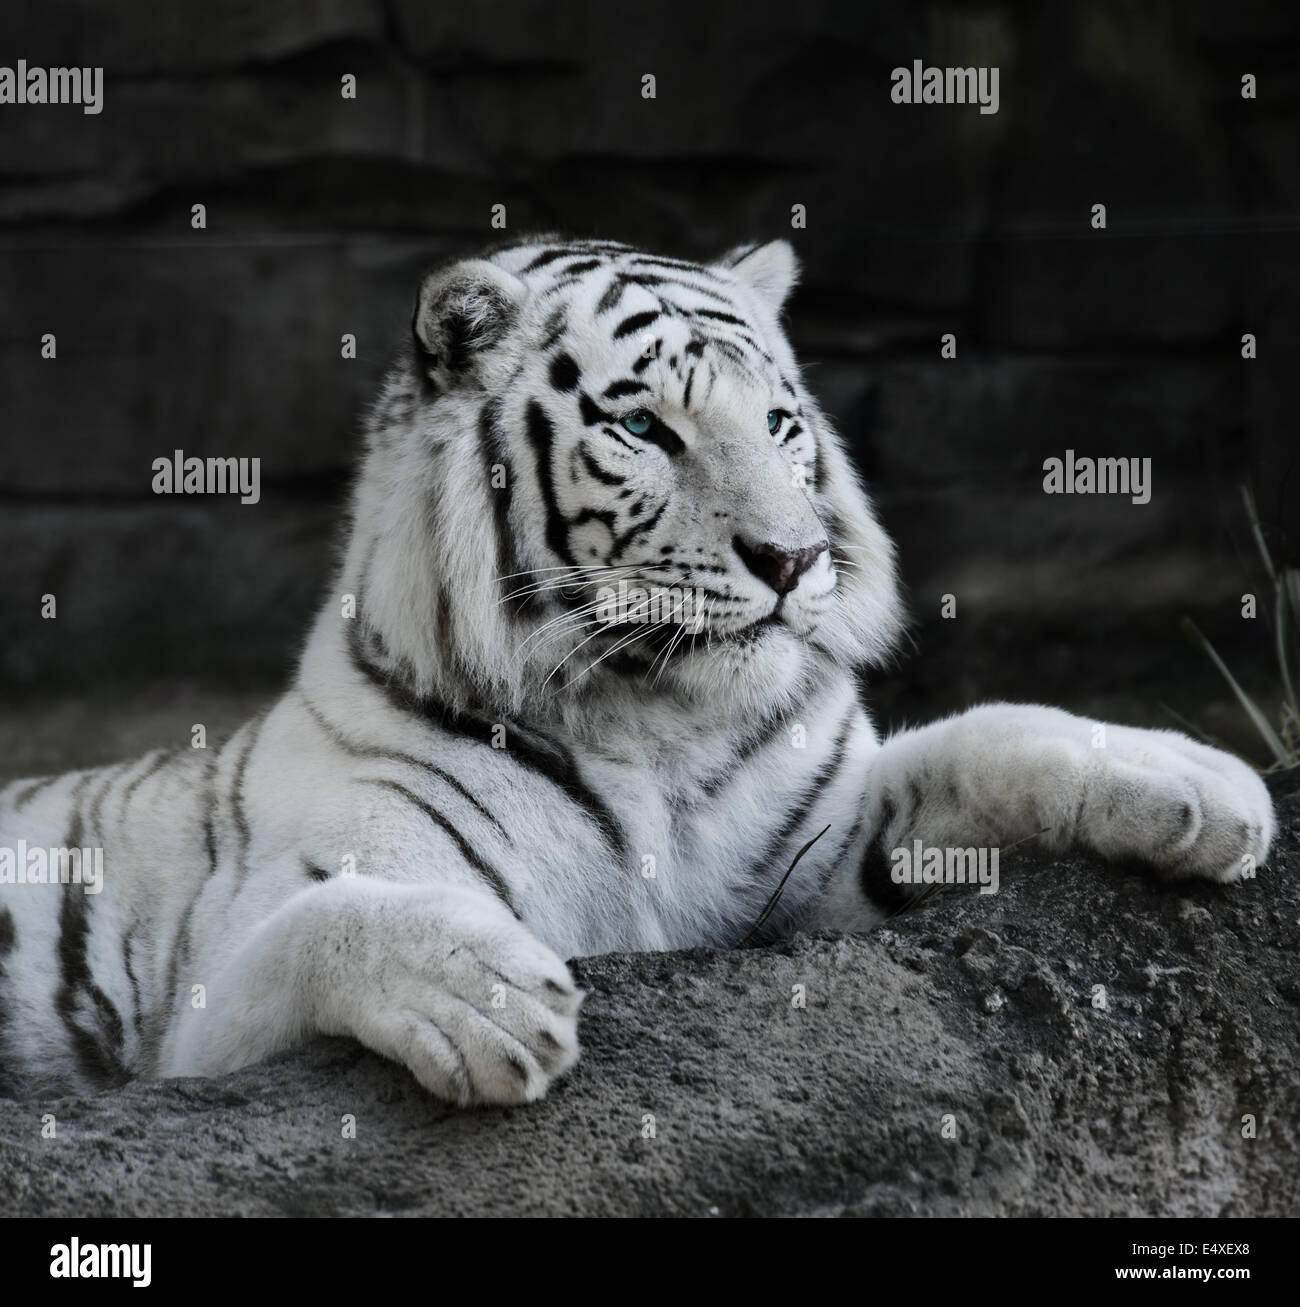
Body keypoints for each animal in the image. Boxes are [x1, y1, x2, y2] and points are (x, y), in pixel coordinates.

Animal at [0, 236, 1276, 1105]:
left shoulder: (817, 858)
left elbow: (990, 734)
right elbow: (324, 922)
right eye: (645, 430)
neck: (655, 715)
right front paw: (492, 996)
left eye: (781, 425)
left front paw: (1206, 788)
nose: (793, 557)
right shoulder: (205, 1009)